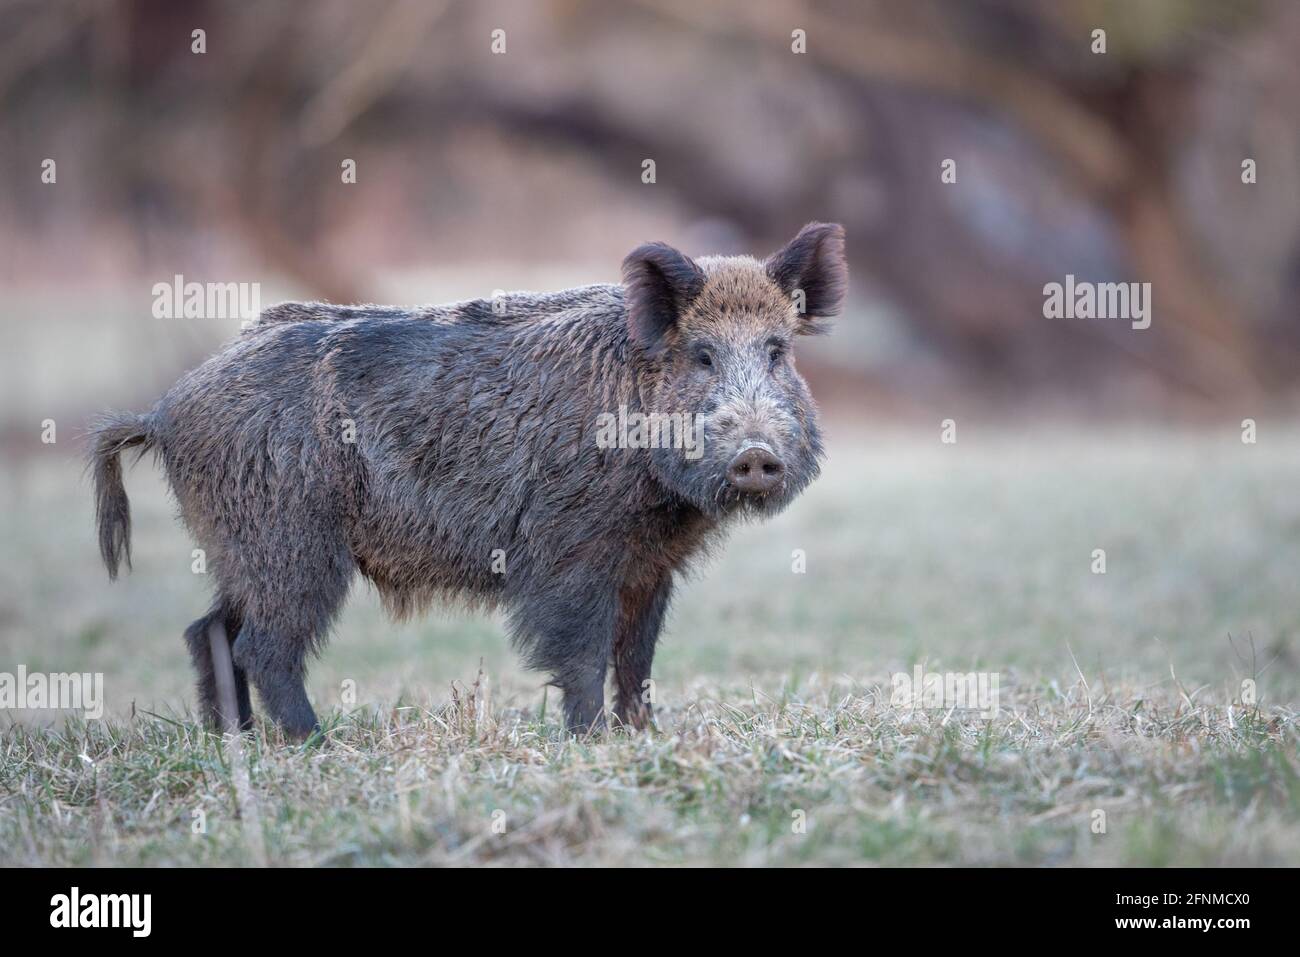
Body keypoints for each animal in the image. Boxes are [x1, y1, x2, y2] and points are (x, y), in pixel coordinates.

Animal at [90, 222, 847, 737]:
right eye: (702, 355)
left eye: (778, 352)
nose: (756, 455)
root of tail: (164, 411)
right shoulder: (571, 550)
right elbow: (583, 650)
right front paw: (591, 740)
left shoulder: (650, 564)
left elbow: (638, 655)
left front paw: (644, 736)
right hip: (290, 538)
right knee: (261, 644)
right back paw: (315, 743)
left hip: (239, 544)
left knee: (208, 629)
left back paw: (238, 739)